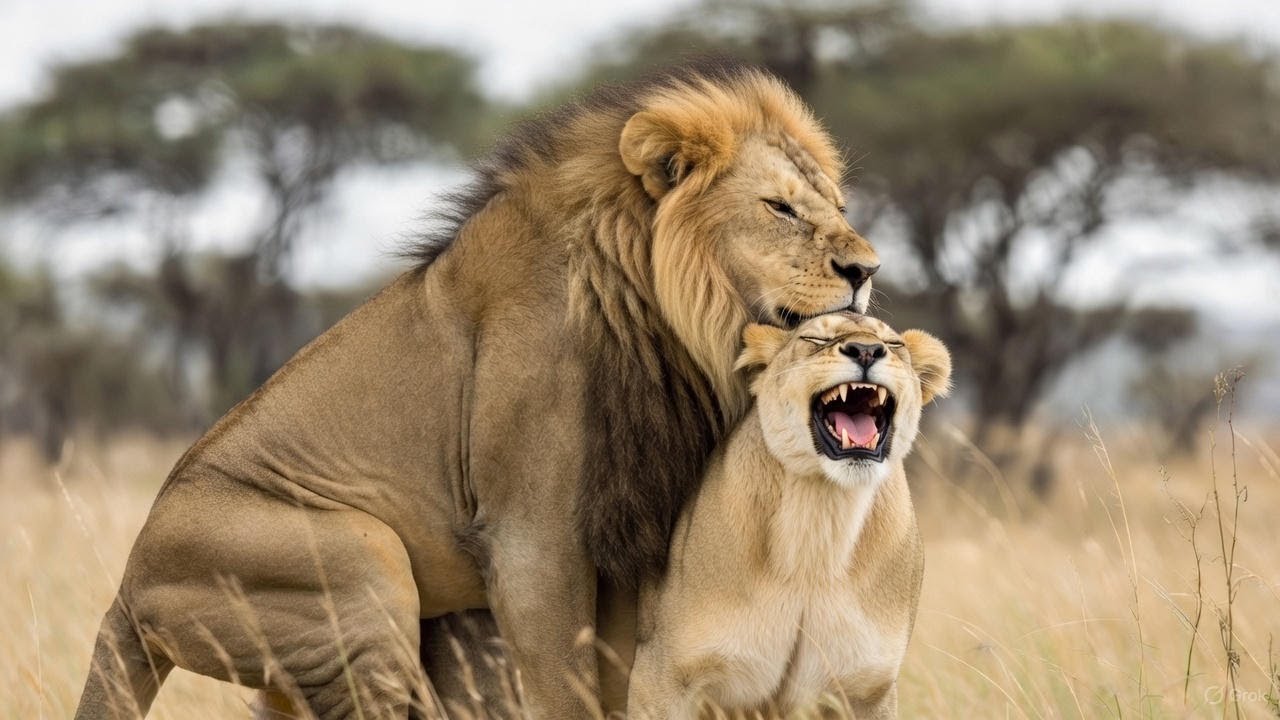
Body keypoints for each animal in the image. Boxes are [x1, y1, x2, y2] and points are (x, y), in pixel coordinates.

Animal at [74, 65, 880, 720]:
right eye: (780, 208)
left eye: (838, 205)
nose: (866, 269)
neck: (659, 321)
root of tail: (125, 593)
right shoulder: (533, 538)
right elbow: (563, 688)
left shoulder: (630, 539)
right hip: (358, 566)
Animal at [626, 313, 951, 720]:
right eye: (815, 339)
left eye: (894, 345)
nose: (866, 350)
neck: (821, 514)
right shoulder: (662, 675)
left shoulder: (868, 688)